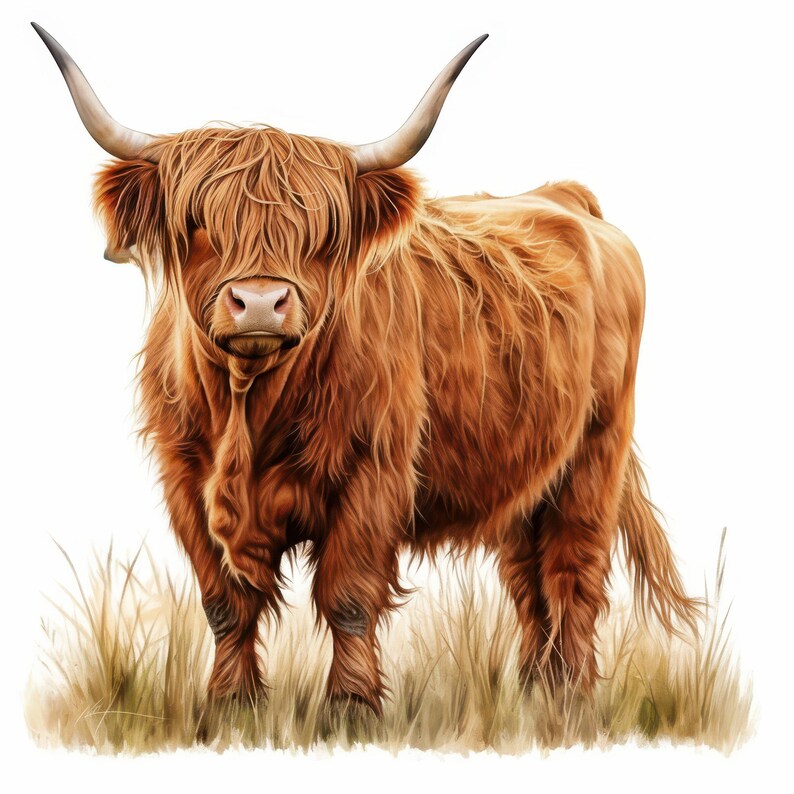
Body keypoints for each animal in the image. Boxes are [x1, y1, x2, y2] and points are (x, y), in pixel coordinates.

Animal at [34, 23, 698, 713]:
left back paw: (569, 695)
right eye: (197, 223)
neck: (250, 408)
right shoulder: (184, 478)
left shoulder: (373, 473)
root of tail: (565, 198)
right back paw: (533, 686)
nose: (260, 303)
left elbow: (348, 596)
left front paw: (349, 707)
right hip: (524, 473)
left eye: (322, 234)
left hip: (595, 451)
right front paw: (230, 702)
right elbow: (225, 602)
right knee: (528, 578)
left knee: (574, 570)